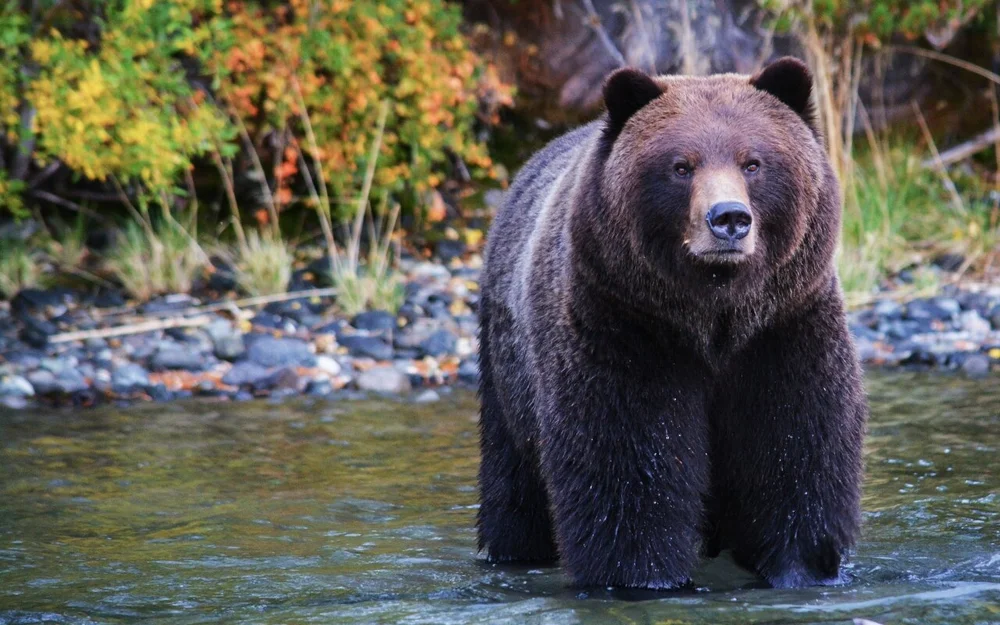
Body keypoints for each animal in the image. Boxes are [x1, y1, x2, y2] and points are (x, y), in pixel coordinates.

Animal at [476, 57, 868, 590]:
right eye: (682, 166)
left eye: (753, 162)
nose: (728, 219)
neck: (713, 318)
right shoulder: (624, 327)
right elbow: (629, 463)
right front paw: (639, 576)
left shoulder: (784, 329)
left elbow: (797, 447)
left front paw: (800, 566)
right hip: (507, 367)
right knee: (512, 483)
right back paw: (512, 549)